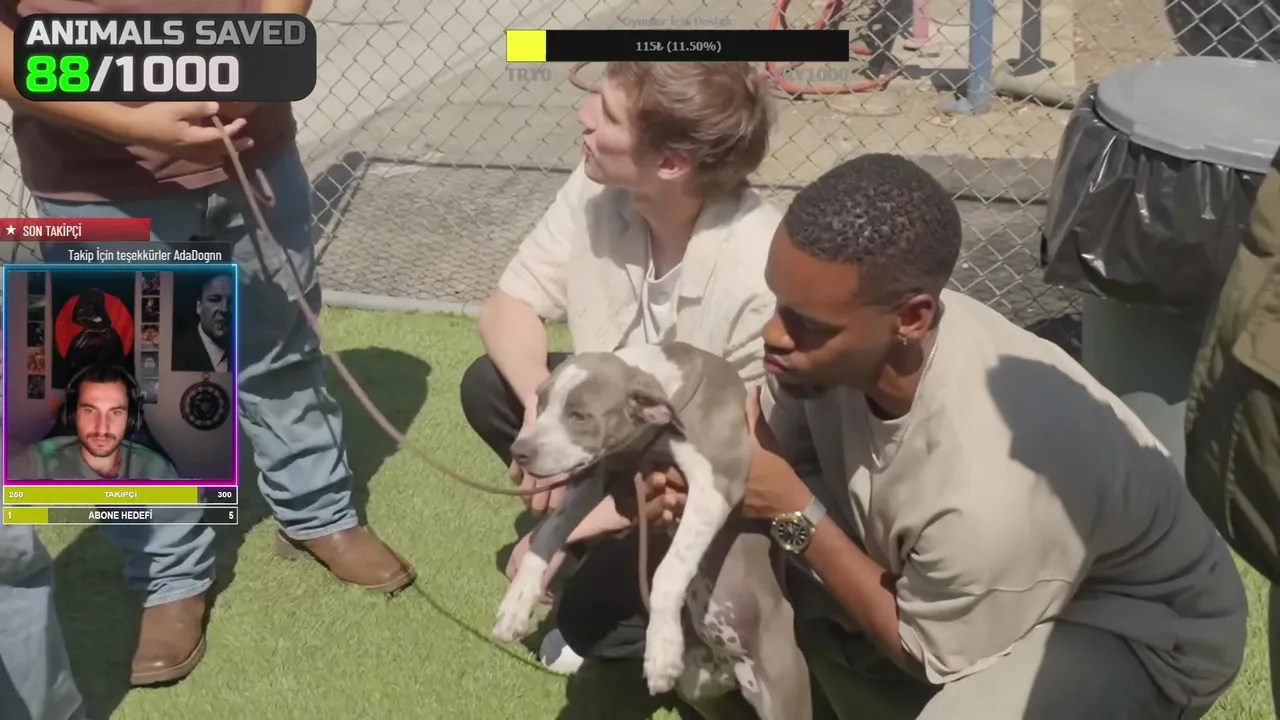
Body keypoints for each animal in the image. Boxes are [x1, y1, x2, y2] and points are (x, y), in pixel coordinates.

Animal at [492, 342, 811, 719]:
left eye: (579, 416)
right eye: (541, 403)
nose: (520, 451)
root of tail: (731, 668)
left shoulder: (717, 483)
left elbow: (671, 568)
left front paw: (661, 651)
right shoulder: (601, 471)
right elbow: (546, 534)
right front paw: (515, 605)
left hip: (783, 684)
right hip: (699, 688)